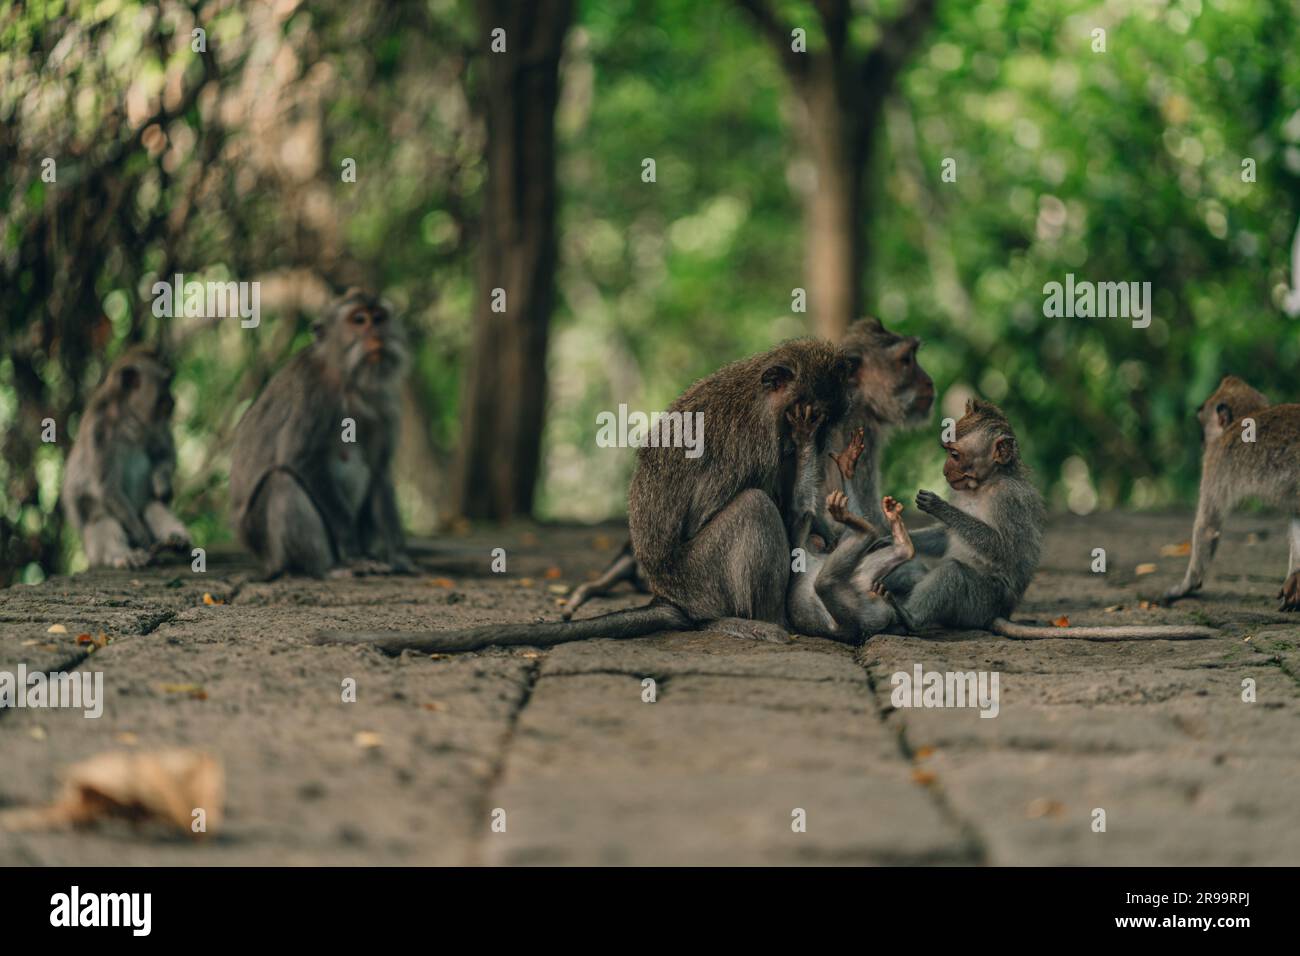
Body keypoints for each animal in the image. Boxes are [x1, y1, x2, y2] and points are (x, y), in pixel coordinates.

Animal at [62, 346, 191, 569]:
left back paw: (176, 540)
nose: (173, 400)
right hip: (92, 546)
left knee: (151, 506)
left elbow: (165, 455)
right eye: (165, 383)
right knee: (103, 521)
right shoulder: (98, 431)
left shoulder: (155, 423)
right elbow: (108, 489)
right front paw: (141, 536)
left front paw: (162, 484)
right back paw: (125, 554)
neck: (127, 418)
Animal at [229, 289, 413, 579]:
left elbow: (379, 470)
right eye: (359, 320)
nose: (377, 336)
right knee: (282, 483)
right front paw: (351, 545)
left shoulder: (385, 403)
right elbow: (301, 459)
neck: (351, 383)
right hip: (263, 540)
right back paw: (330, 567)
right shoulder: (312, 392)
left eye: (379, 318)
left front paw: (398, 556)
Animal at [313, 339, 858, 653]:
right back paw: (754, 622)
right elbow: (762, 508)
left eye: (824, 416)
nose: (813, 436)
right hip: (702, 579)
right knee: (752, 508)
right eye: (809, 412)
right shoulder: (758, 443)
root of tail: (669, 595)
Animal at [785, 398, 1218, 642]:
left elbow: (1003, 546)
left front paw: (938, 505)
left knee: (954, 575)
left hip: (981, 600)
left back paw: (909, 617)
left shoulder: (1009, 500)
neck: (984, 484)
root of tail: (1003, 611)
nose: (944, 471)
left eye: (955, 454)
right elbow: (943, 539)